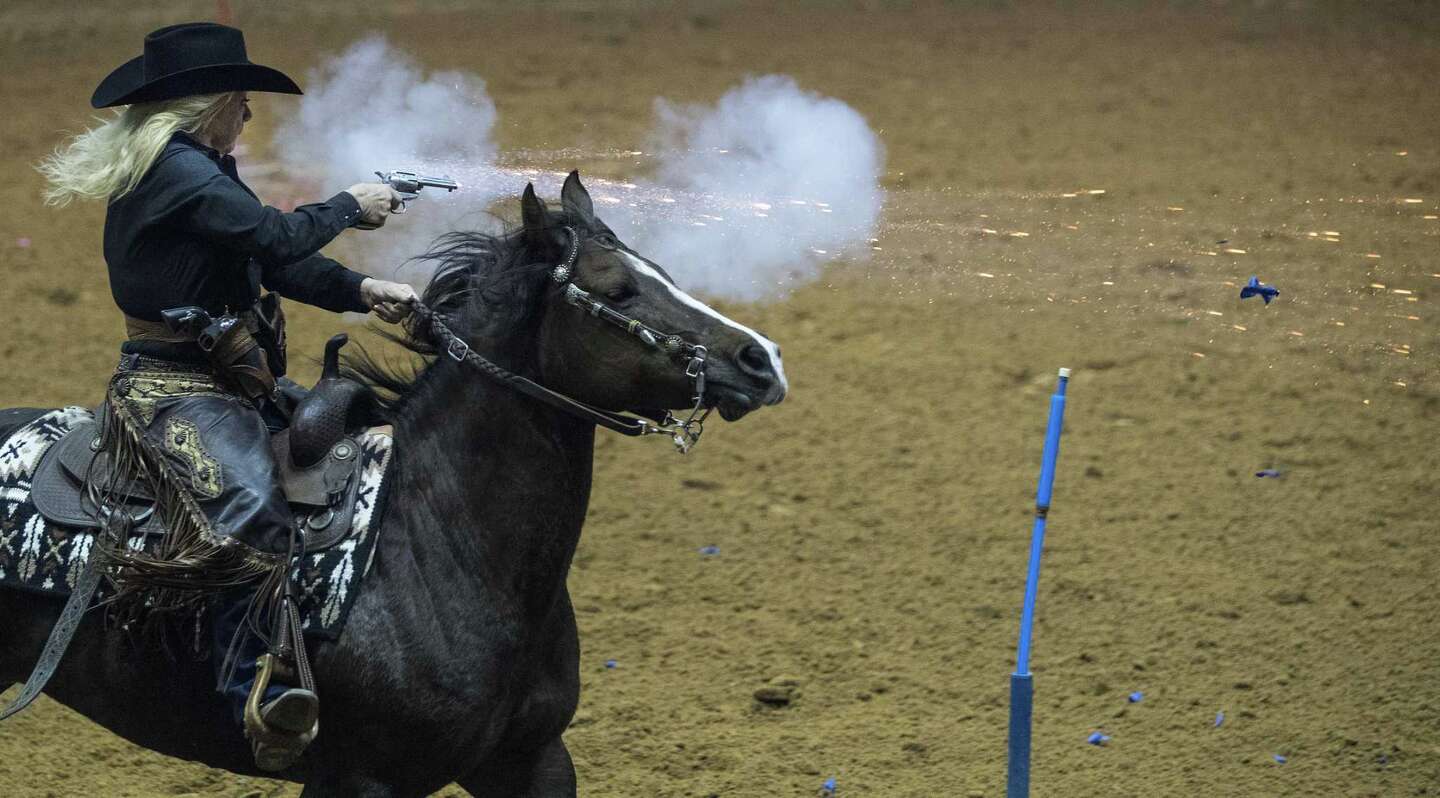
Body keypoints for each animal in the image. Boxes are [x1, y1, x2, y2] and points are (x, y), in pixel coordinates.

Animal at [0, 171, 787, 796]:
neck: (432, 538)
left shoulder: (532, 758)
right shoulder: (361, 777)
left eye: (661, 271)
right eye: (617, 289)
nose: (763, 360)